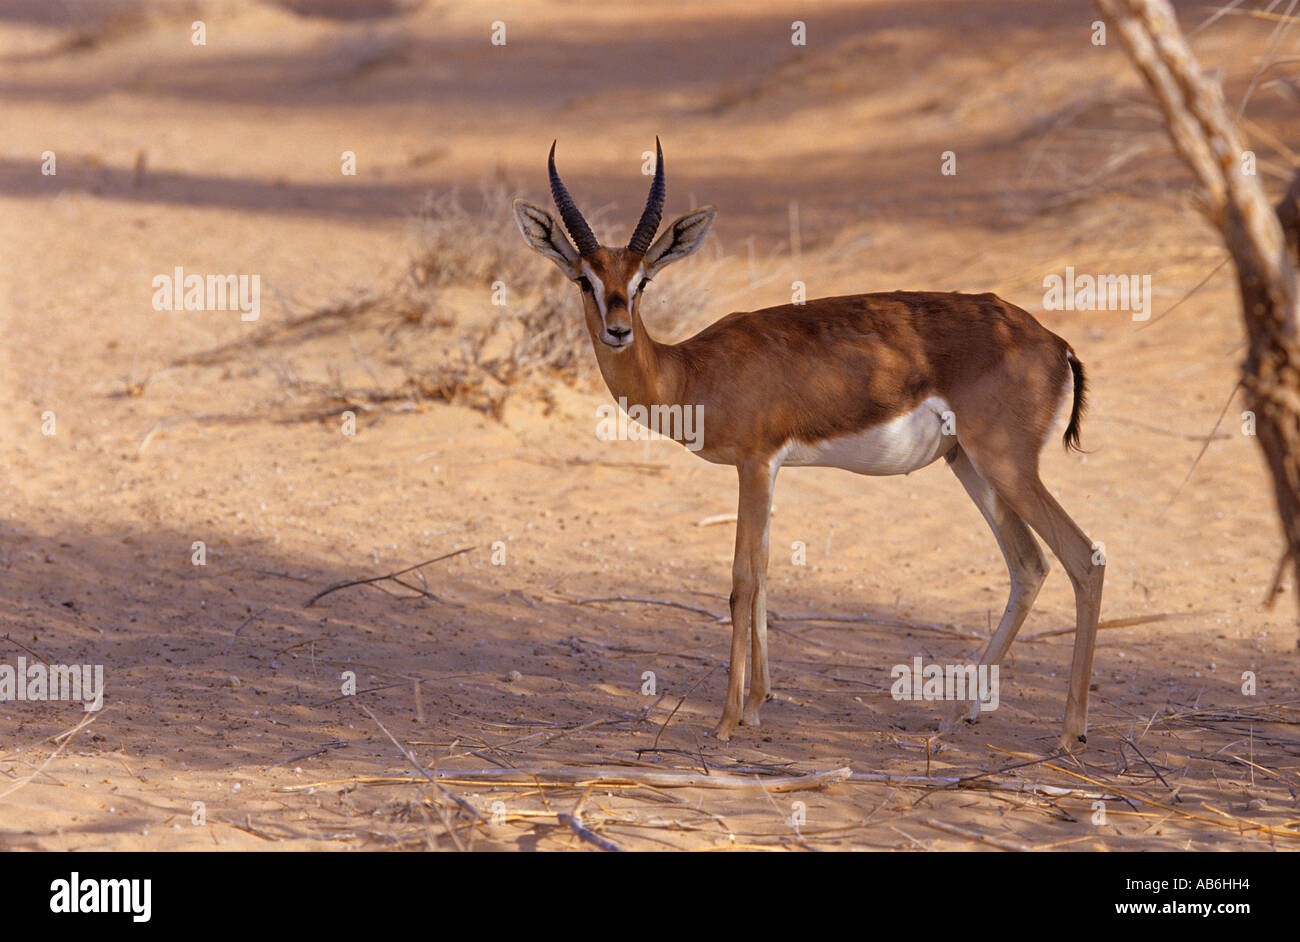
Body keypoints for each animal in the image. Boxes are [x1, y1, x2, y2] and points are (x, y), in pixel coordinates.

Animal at [513, 140, 1104, 750]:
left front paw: (726, 720)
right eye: (584, 279)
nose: (618, 331)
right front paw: (756, 705)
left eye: (642, 282)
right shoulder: (771, 469)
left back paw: (1069, 734)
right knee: (1029, 565)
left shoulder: (754, 463)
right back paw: (955, 716)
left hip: (1006, 464)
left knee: (1084, 557)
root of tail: (1054, 342)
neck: (693, 371)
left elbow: (742, 581)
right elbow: (766, 569)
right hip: (971, 465)